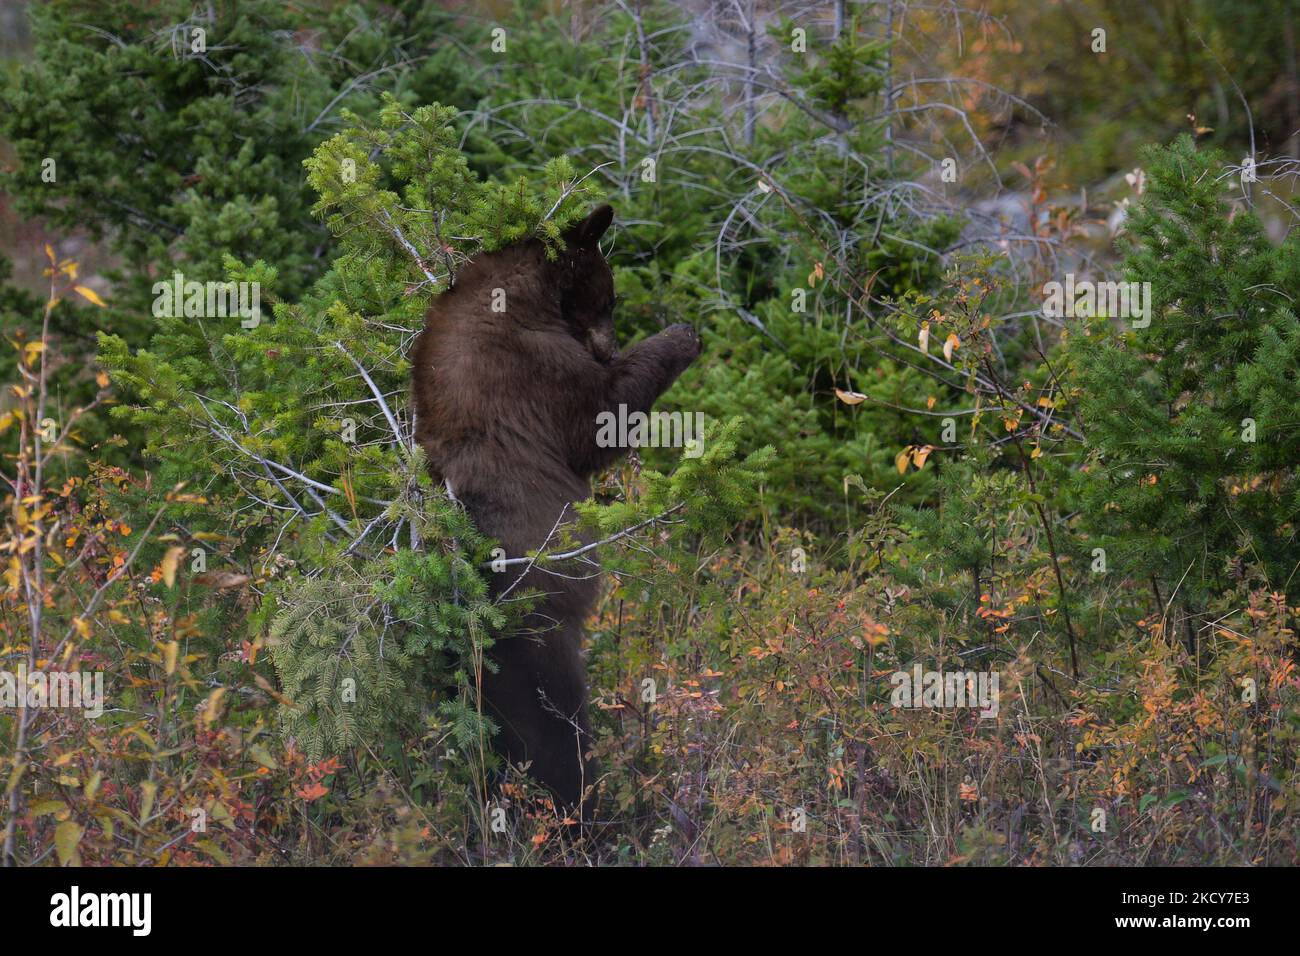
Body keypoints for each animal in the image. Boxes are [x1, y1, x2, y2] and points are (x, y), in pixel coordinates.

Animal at [410, 204, 700, 812]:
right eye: (610, 297)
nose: (607, 347)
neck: (521, 296)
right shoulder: (534, 367)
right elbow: (599, 418)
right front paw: (678, 337)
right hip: (540, 630)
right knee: (556, 728)